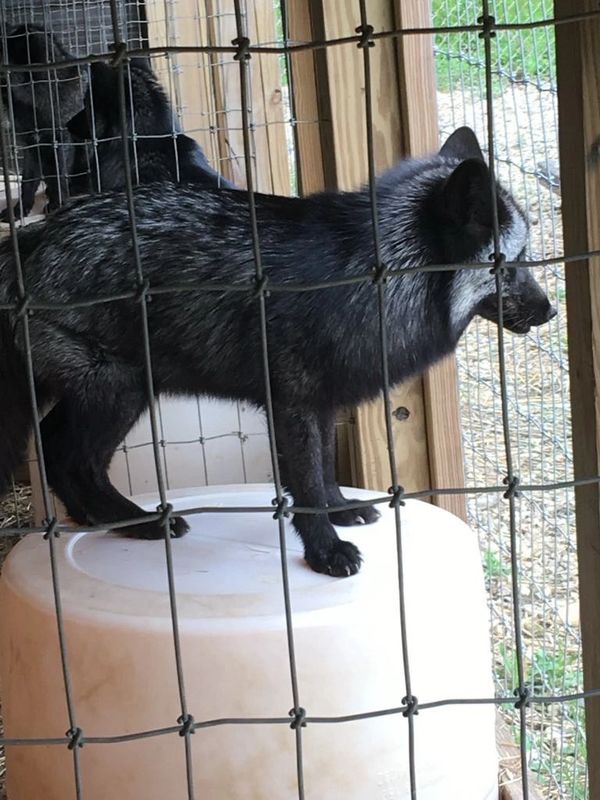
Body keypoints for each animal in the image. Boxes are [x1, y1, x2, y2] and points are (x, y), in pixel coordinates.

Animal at [0, 127, 555, 576]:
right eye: (511, 264)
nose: (550, 311)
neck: (369, 276)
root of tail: (34, 238)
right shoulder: (294, 405)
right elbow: (304, 485)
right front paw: (326, 551)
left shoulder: (324, 402)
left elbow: (325, 471)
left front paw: (342, 509)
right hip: (121, 389)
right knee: (70, 455)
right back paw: (135, 521)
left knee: (57, 451)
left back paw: (102, 520)